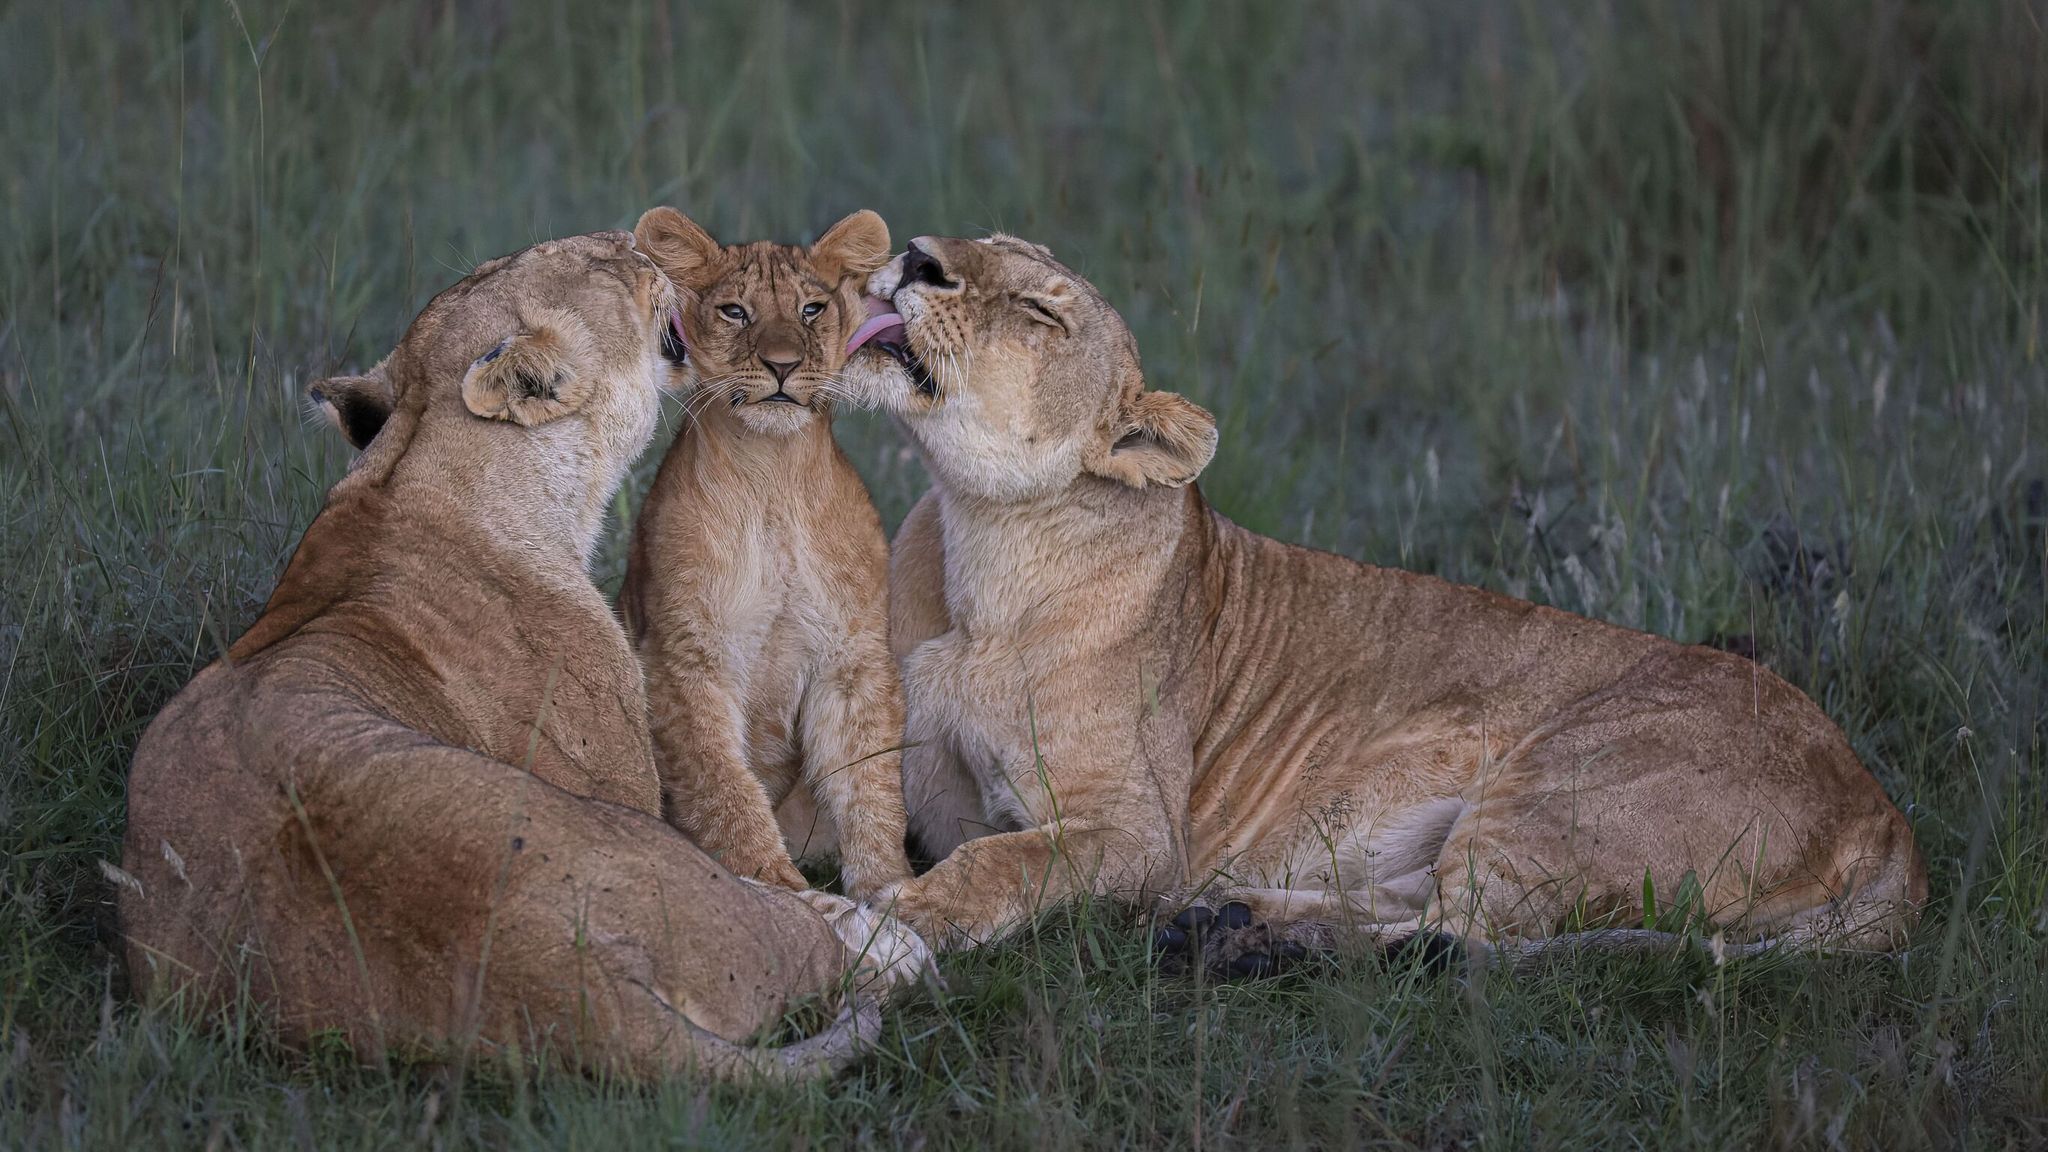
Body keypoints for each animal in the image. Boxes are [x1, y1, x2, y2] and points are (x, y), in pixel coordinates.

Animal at [619, 207, 912, 900]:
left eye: (810, 309)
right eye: (735, 312)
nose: (781, 365)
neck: (773, 476)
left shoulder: (851, 658)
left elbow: (870, 784)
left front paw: (891, 888)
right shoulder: (684, 657)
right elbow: (721, 781)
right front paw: (774, 882)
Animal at [841, 233, 1926, 970]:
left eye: (1041, 313)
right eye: (976, 242)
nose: (918, 256)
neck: (978, 545)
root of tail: (1886, 818)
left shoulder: (1140, 834)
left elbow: (999, 863)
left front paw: (906, 918)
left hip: (1557, 788)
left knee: (1457, 943)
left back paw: (1233, 940)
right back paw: (1233, 921)